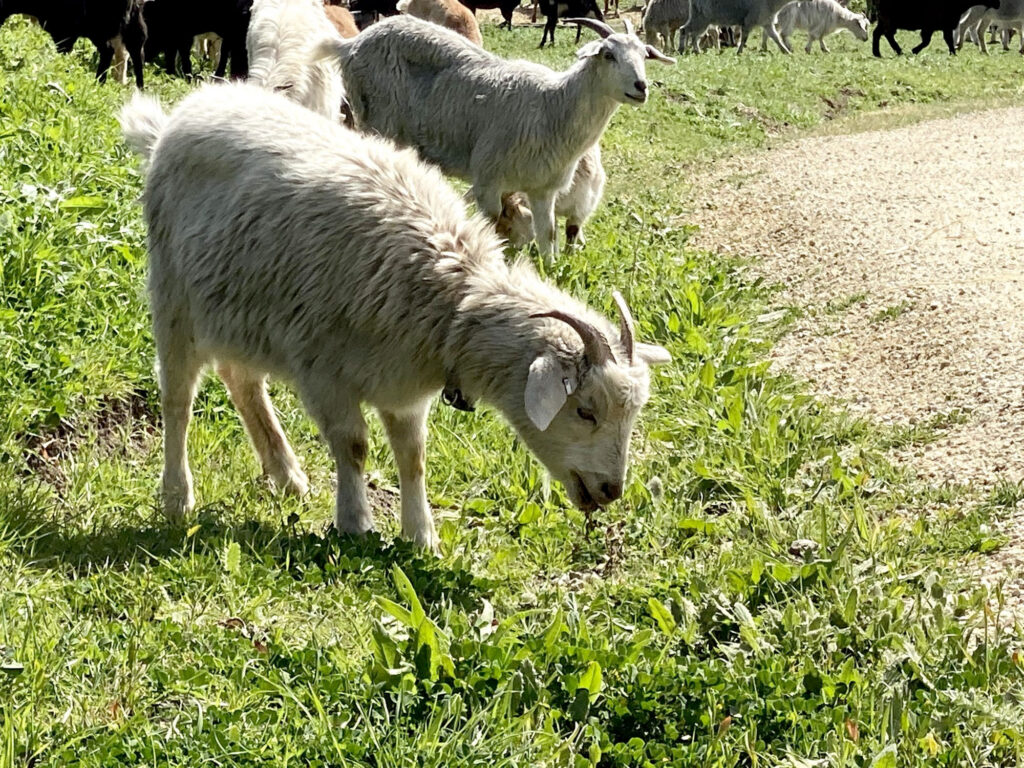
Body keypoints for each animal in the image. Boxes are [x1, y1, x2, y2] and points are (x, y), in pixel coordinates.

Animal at [119, 83, 672, 551]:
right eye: (585, 410)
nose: (611, 489)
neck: (450, 299)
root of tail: (187, 111)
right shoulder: (324, 371)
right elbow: (354, 446)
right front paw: (355, 523)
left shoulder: (403, 388)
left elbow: (413, 457)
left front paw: (420, 536)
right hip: (174, 298)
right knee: (178, 399)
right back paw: (178, 497)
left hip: (241, 312)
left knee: (242, 381)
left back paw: (286, 475)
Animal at [324, 14, 673, 259]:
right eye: (607, 54)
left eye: (645, 55)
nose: (641, 87)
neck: (554, 105)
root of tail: (351, 45)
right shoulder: (488, 179)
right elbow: (490, 226)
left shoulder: (543, 189)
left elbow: (547, 235)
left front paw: (550, 270)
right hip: (375, 117)